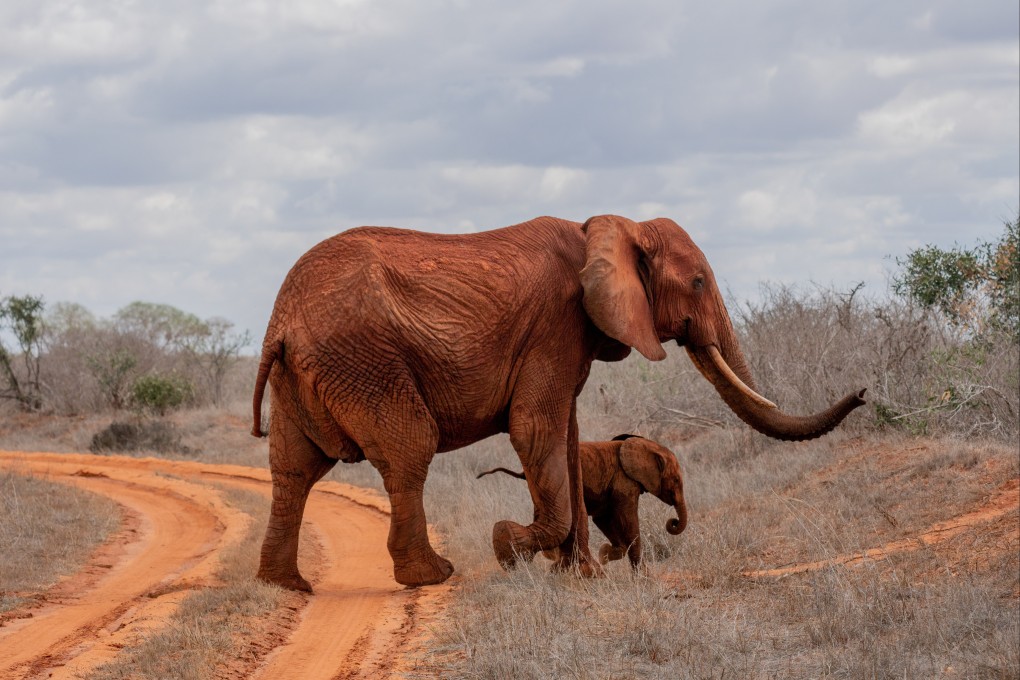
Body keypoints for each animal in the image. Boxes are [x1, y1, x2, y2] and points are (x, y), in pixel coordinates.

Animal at [477, 434, 687, 568]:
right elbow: (628, 519)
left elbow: (603, 518)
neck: (646, 445)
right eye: (676, 480)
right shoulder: (623, 481)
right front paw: (643, 578)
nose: (673, 522)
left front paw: (604, 556)